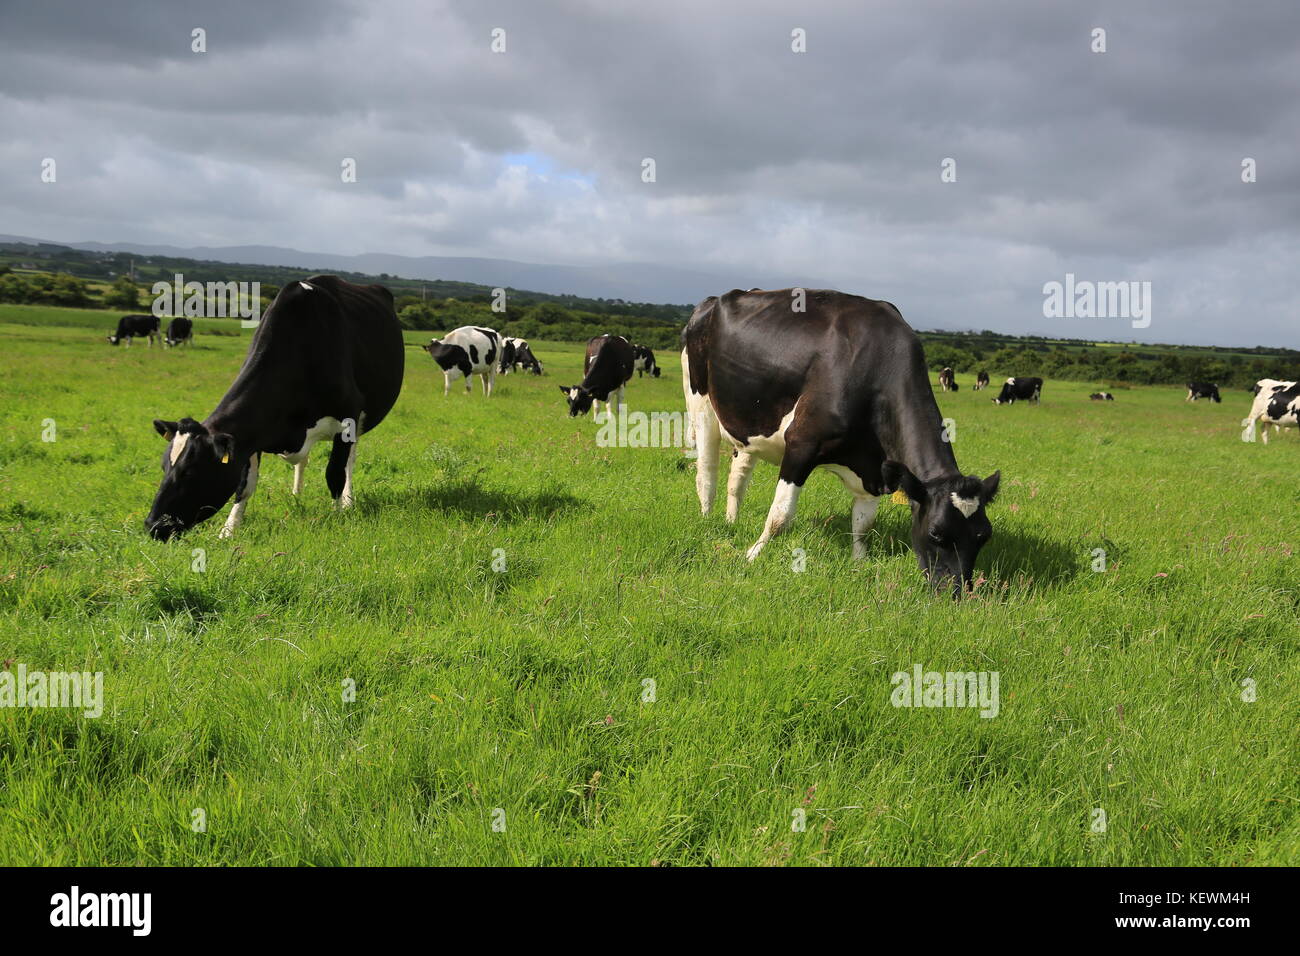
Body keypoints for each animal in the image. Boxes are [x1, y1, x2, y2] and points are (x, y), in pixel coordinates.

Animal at [144, 276, 403, 540]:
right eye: (164, 467)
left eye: (191, 472)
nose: (153, 525)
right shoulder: (250, 436)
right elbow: (244, 486)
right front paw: (229, 529)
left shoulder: (348, 416)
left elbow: (334, 474)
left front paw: (339, 516)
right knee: (304, 461)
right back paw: (297, 495)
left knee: (349, 462)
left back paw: (348, 500)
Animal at [682, 289, 1000, 597]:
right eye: (935, 533)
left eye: (983, 535)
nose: (956, 593)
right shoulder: (801, 445)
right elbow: (780, 517)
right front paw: (752, 555)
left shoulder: (875, 471)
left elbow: (863, 523)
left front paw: (860, 563)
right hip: (700, 404)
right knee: (706, 473)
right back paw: (708, 521)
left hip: (749, 422)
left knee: (738, 477)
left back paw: (731, 521)